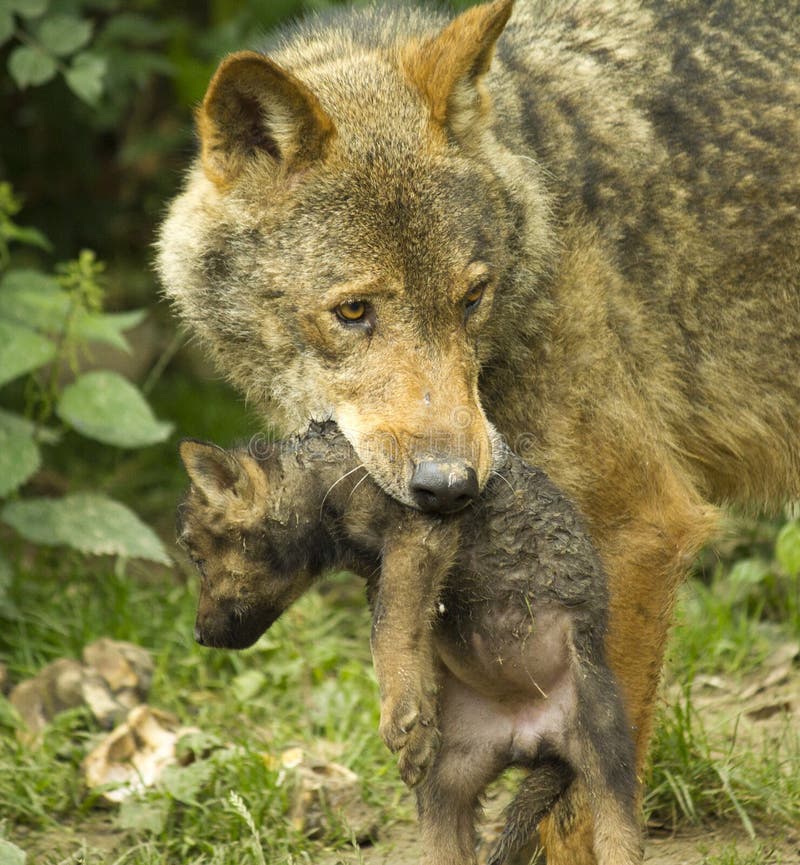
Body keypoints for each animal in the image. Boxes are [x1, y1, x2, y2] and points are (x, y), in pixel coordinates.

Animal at [178, 422, 641, 865]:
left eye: (197, 558)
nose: (198, 637)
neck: (320, 484)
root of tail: (528, 741)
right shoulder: (391, 576)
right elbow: (407, 644)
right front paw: (415, 726)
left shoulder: (417, 536)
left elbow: (387, 633)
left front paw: (399, 715)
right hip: (446, 790)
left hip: (605, 760)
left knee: (619, 838)